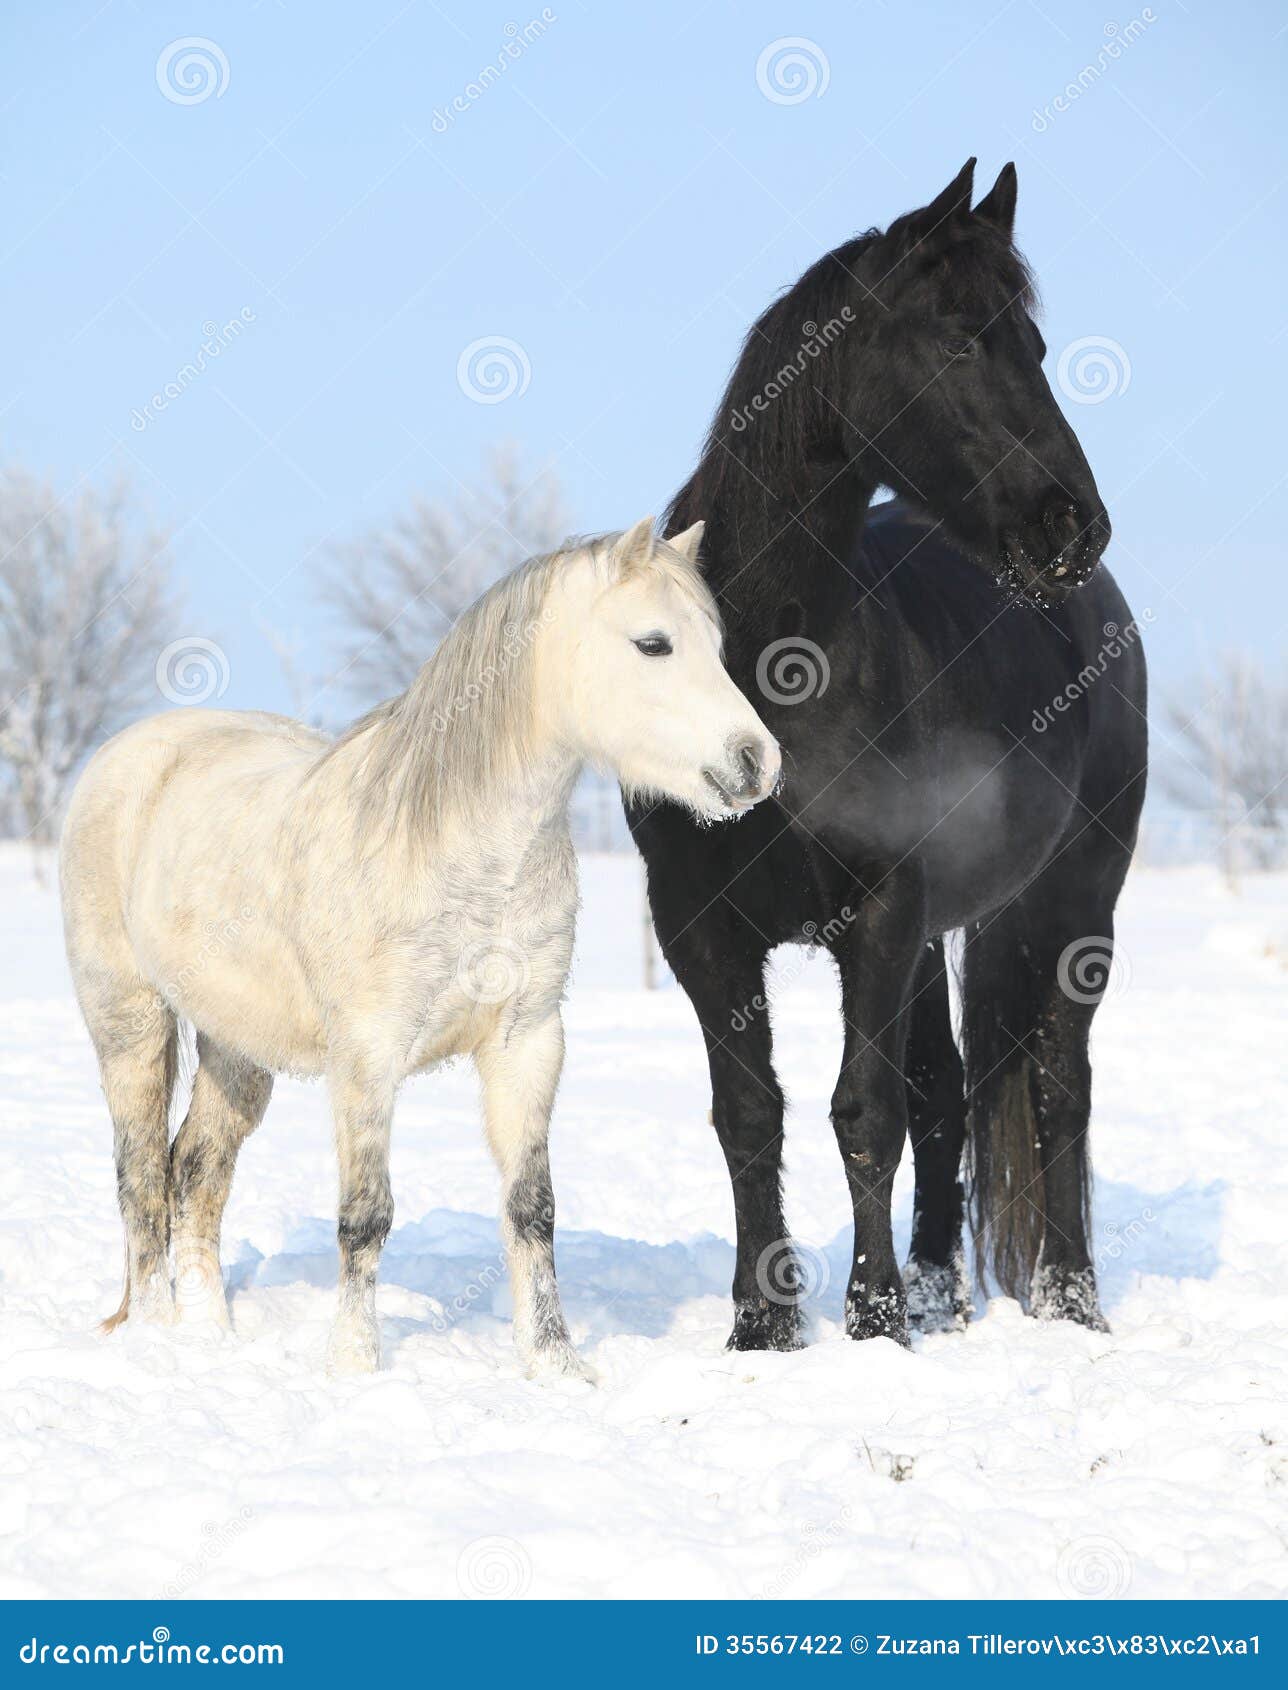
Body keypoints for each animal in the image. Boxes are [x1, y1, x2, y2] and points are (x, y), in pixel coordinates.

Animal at [60, 519, 780, 1379]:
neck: (459, 852)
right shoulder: (367, 1057)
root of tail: (129, 754)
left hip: (237, 1048)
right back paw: (158, 1334)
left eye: (718, 644)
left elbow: (531, 1207)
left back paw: (209, 1336)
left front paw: (554, 1365)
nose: (756, 763)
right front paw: (354, 1365)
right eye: (653, 644)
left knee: (197, 1172)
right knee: (141, 1176)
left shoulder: (527, 1043)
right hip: (129, 1023)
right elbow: (365, 1215)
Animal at [628, 160, 1148, 1350]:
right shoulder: (698, 924)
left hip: (1070, 906)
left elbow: (865, 1112)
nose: (1072, 526)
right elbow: (751, 1114)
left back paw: (1069, 1304)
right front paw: (762, 1329)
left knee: (1058, 1088)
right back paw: (941, 1296)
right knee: (950, 1094)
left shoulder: (881, 905)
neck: (778, 668)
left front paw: (870, 1327)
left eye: (1033, 344)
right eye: (958, 343)